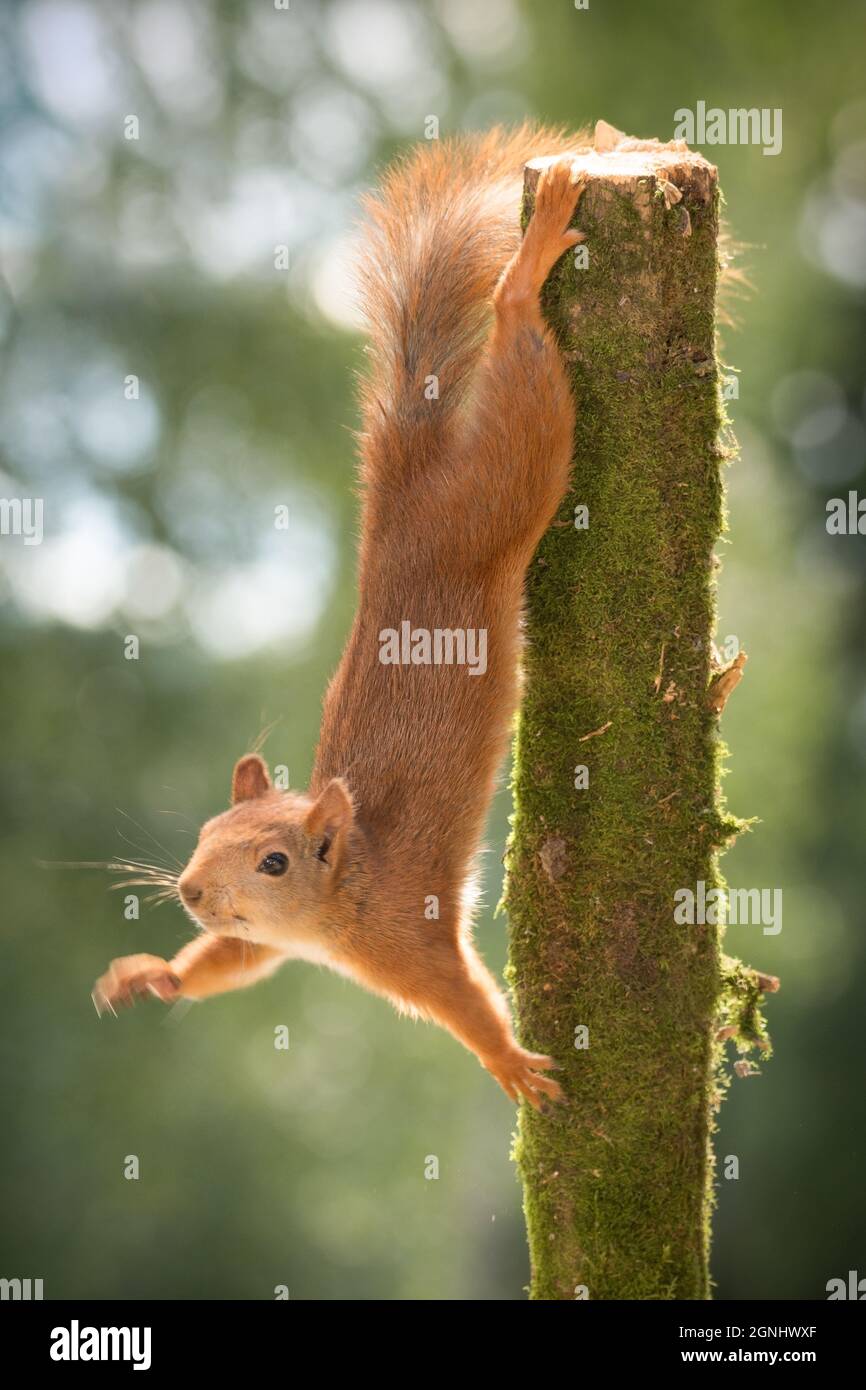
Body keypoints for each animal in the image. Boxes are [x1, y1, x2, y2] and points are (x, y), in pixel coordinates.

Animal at [93, 125, 593, 1107]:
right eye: (206, 833)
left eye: (276, 862)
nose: (190, 891)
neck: (333, 903)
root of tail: (407, 485)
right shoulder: (261, 942)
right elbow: (228, 963)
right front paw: (151, 974)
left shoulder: (407, 938)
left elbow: (465, 1004)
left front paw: (510, 1063)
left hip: (509, 481)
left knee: (524, 367)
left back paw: (530, 262)